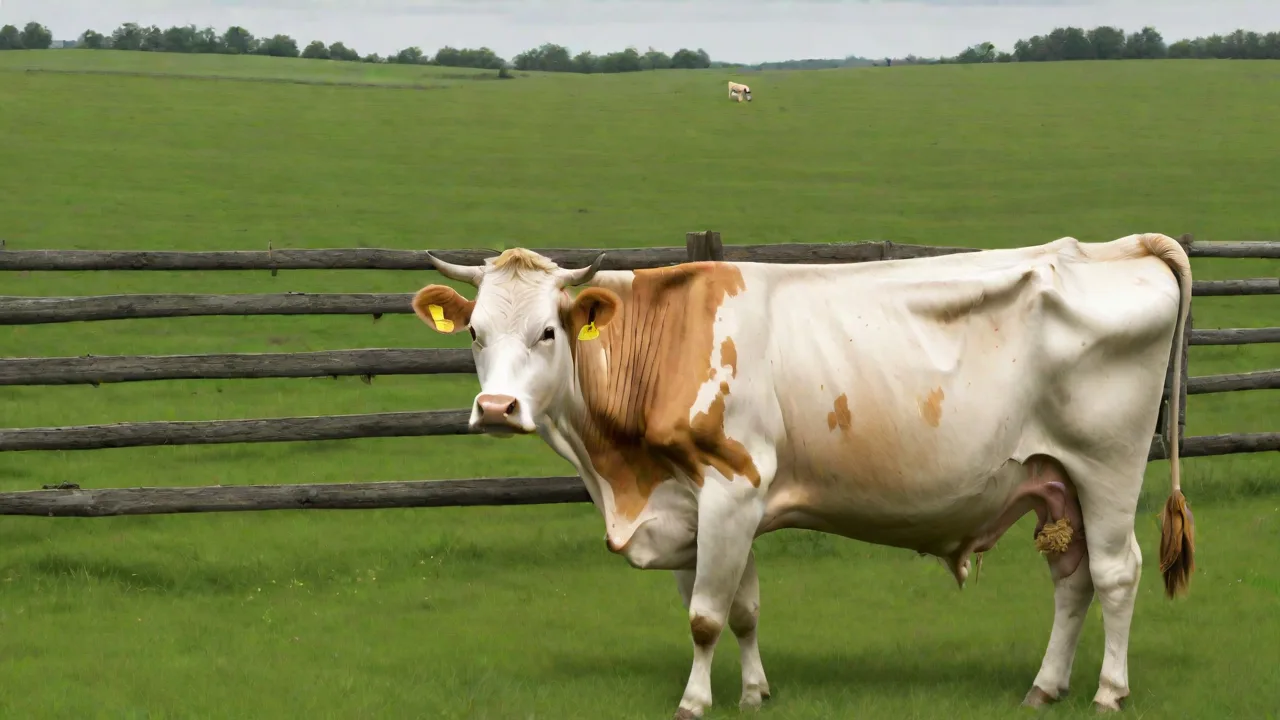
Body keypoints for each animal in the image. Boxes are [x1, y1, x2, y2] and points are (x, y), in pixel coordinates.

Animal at [411, 233, 1195, 718]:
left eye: (548, 330)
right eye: (475, 333)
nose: (497, 408)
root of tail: (1117, 246)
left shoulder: (731, 484)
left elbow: (705, 616)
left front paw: (695, 702)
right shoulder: (698, 504)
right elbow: (742, 608)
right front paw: (755, 692)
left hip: (1107, 466)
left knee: (1116, 573)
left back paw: (1108, 691)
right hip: (1053, 479)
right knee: (1073, 580)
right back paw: (1044, 687)